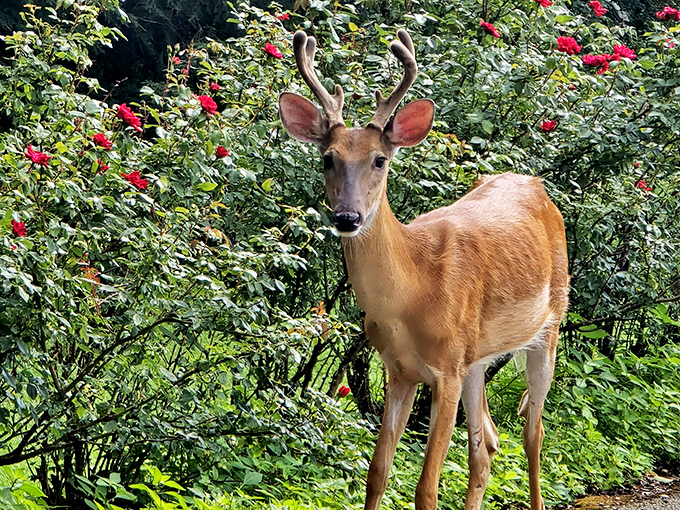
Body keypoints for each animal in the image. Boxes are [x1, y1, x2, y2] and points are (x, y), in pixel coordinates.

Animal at [279, 28, 569, 510]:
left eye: (380, 159)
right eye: (328, 158)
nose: (347, 217)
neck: (413, 292)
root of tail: (537, 186)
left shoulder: (446, 371)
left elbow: (426, 488)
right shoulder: (399, 370)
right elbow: (377, 473)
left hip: (549, 326)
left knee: (534, 431)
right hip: (476, 357)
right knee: (486, 444)